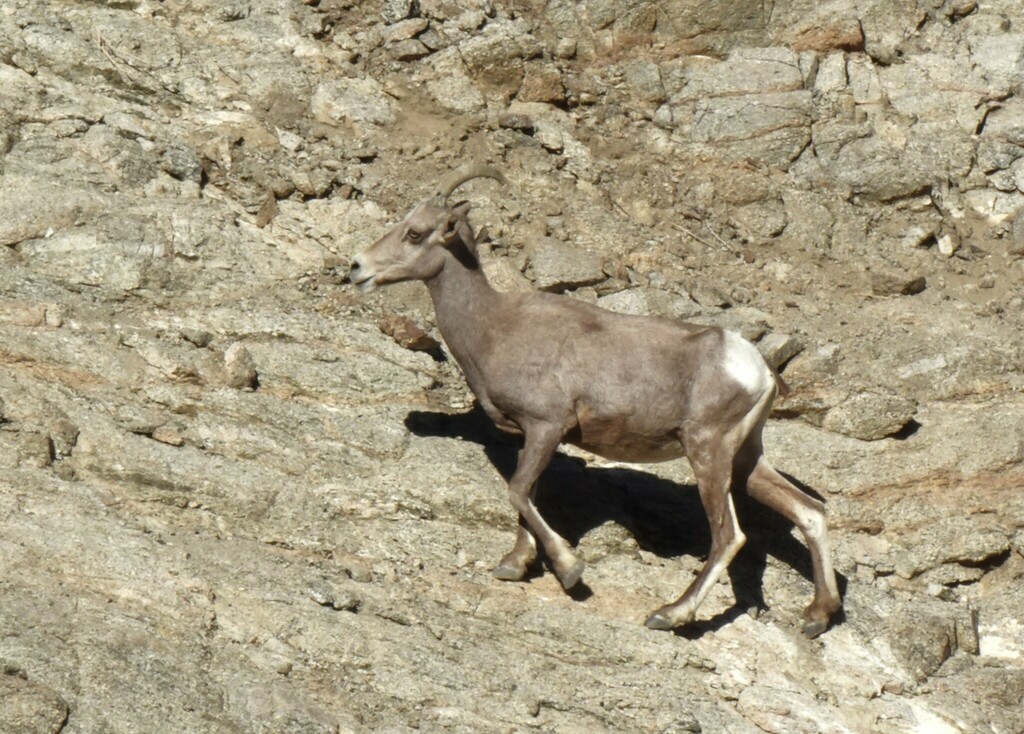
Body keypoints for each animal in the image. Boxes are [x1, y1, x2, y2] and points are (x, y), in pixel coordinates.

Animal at [348, 164, 842, 637]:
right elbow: (527, 494)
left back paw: (669, 615)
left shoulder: (547, 426)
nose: (356, 267)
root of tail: (757, 368)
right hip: (745, 460)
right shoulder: (535, 438)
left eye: (416, 233)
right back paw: (817, 616)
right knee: (811, 513)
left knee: (727, 536)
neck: (492, 327)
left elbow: (518, 491)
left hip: (708, 452)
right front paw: (514, 565)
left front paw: (569, 570)